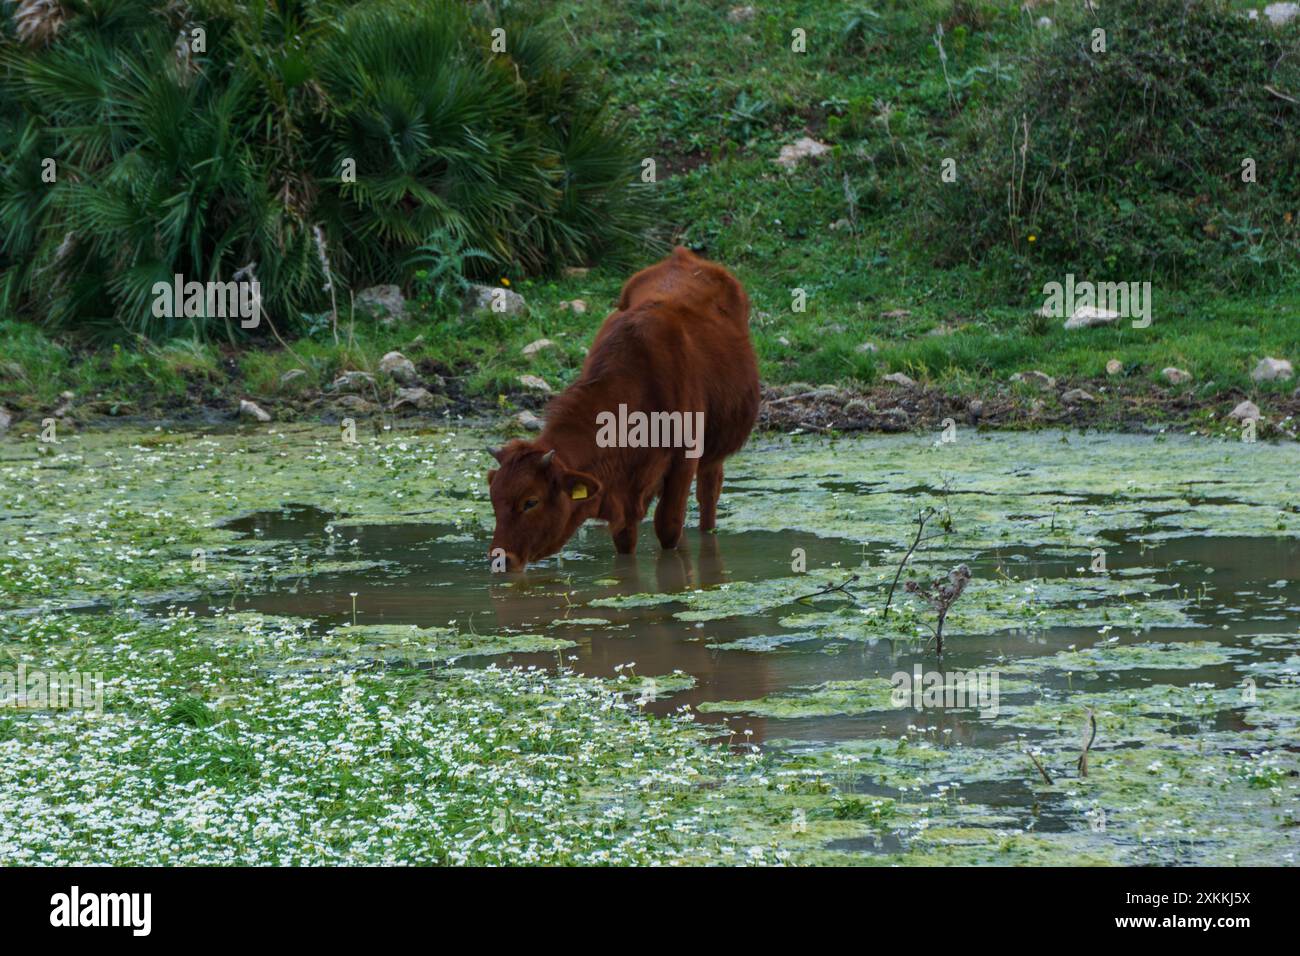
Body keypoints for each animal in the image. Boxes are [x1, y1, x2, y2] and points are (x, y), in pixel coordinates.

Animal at [486, 246, 759, 571]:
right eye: (493, 500)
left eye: (531, 501)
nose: (501, 559)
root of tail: (684, 257)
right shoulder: (622, 490)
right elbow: (626, 539)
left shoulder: (684, 459)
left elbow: (669, 526)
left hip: (713, 450)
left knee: (708, 495)